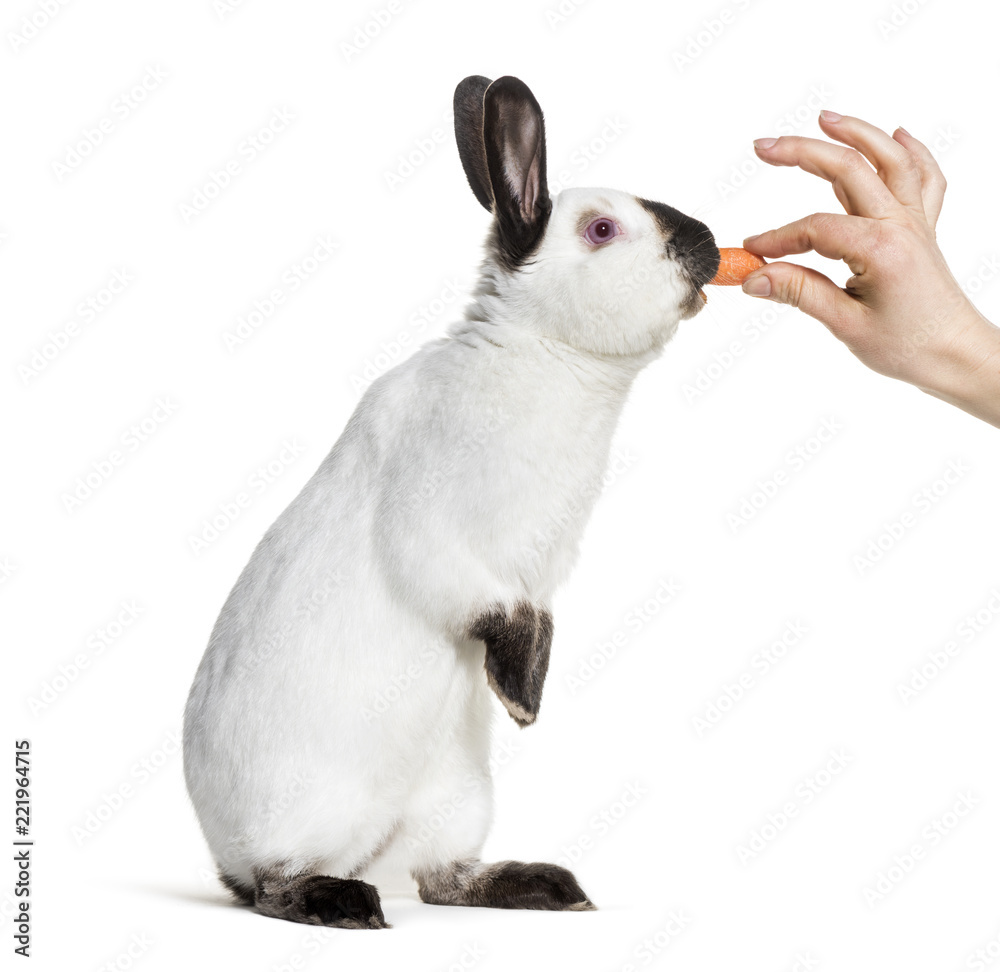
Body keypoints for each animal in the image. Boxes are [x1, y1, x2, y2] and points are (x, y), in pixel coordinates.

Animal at [182, 74, 719, 929]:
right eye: (602, 229)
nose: (709, 242)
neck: (546, 356)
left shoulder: (544, 571)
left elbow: (532, 620)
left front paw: (521, 699)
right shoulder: (437, 540)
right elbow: (494, 610)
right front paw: (523, 704)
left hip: (457, 796)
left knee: (443, 878)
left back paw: (547, 888)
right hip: (304, 812)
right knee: (273, 887)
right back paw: (346, 902)